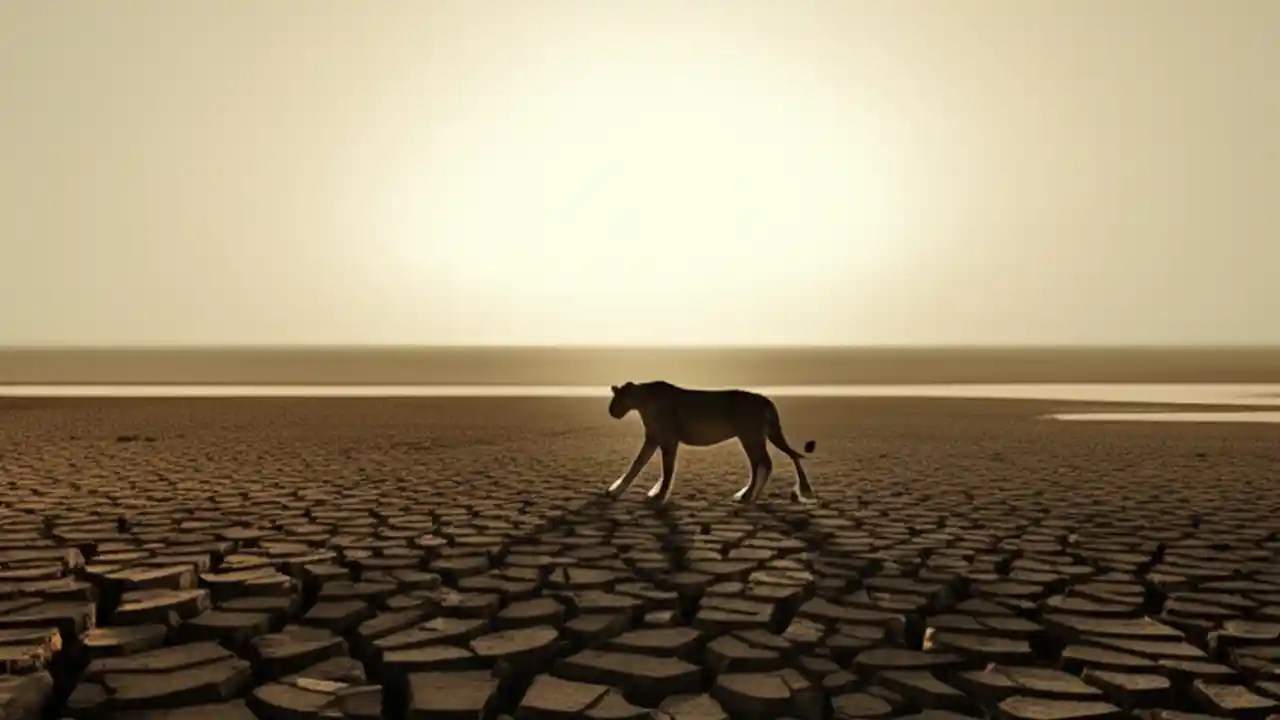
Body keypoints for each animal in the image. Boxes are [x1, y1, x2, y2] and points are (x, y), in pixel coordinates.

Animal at [605, 381, 817, 505]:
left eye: (616, 400)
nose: (611, 411)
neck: (642, 401)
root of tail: (766, 400)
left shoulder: (668, 438)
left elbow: (667, 468)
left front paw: (659, 496)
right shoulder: (653, 438)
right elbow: (637, 464)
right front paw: (615, 491)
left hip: (750, 436)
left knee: (762, 463)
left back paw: (747, 495)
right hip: (755, 437)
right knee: (765, 463)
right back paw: (751, 495)